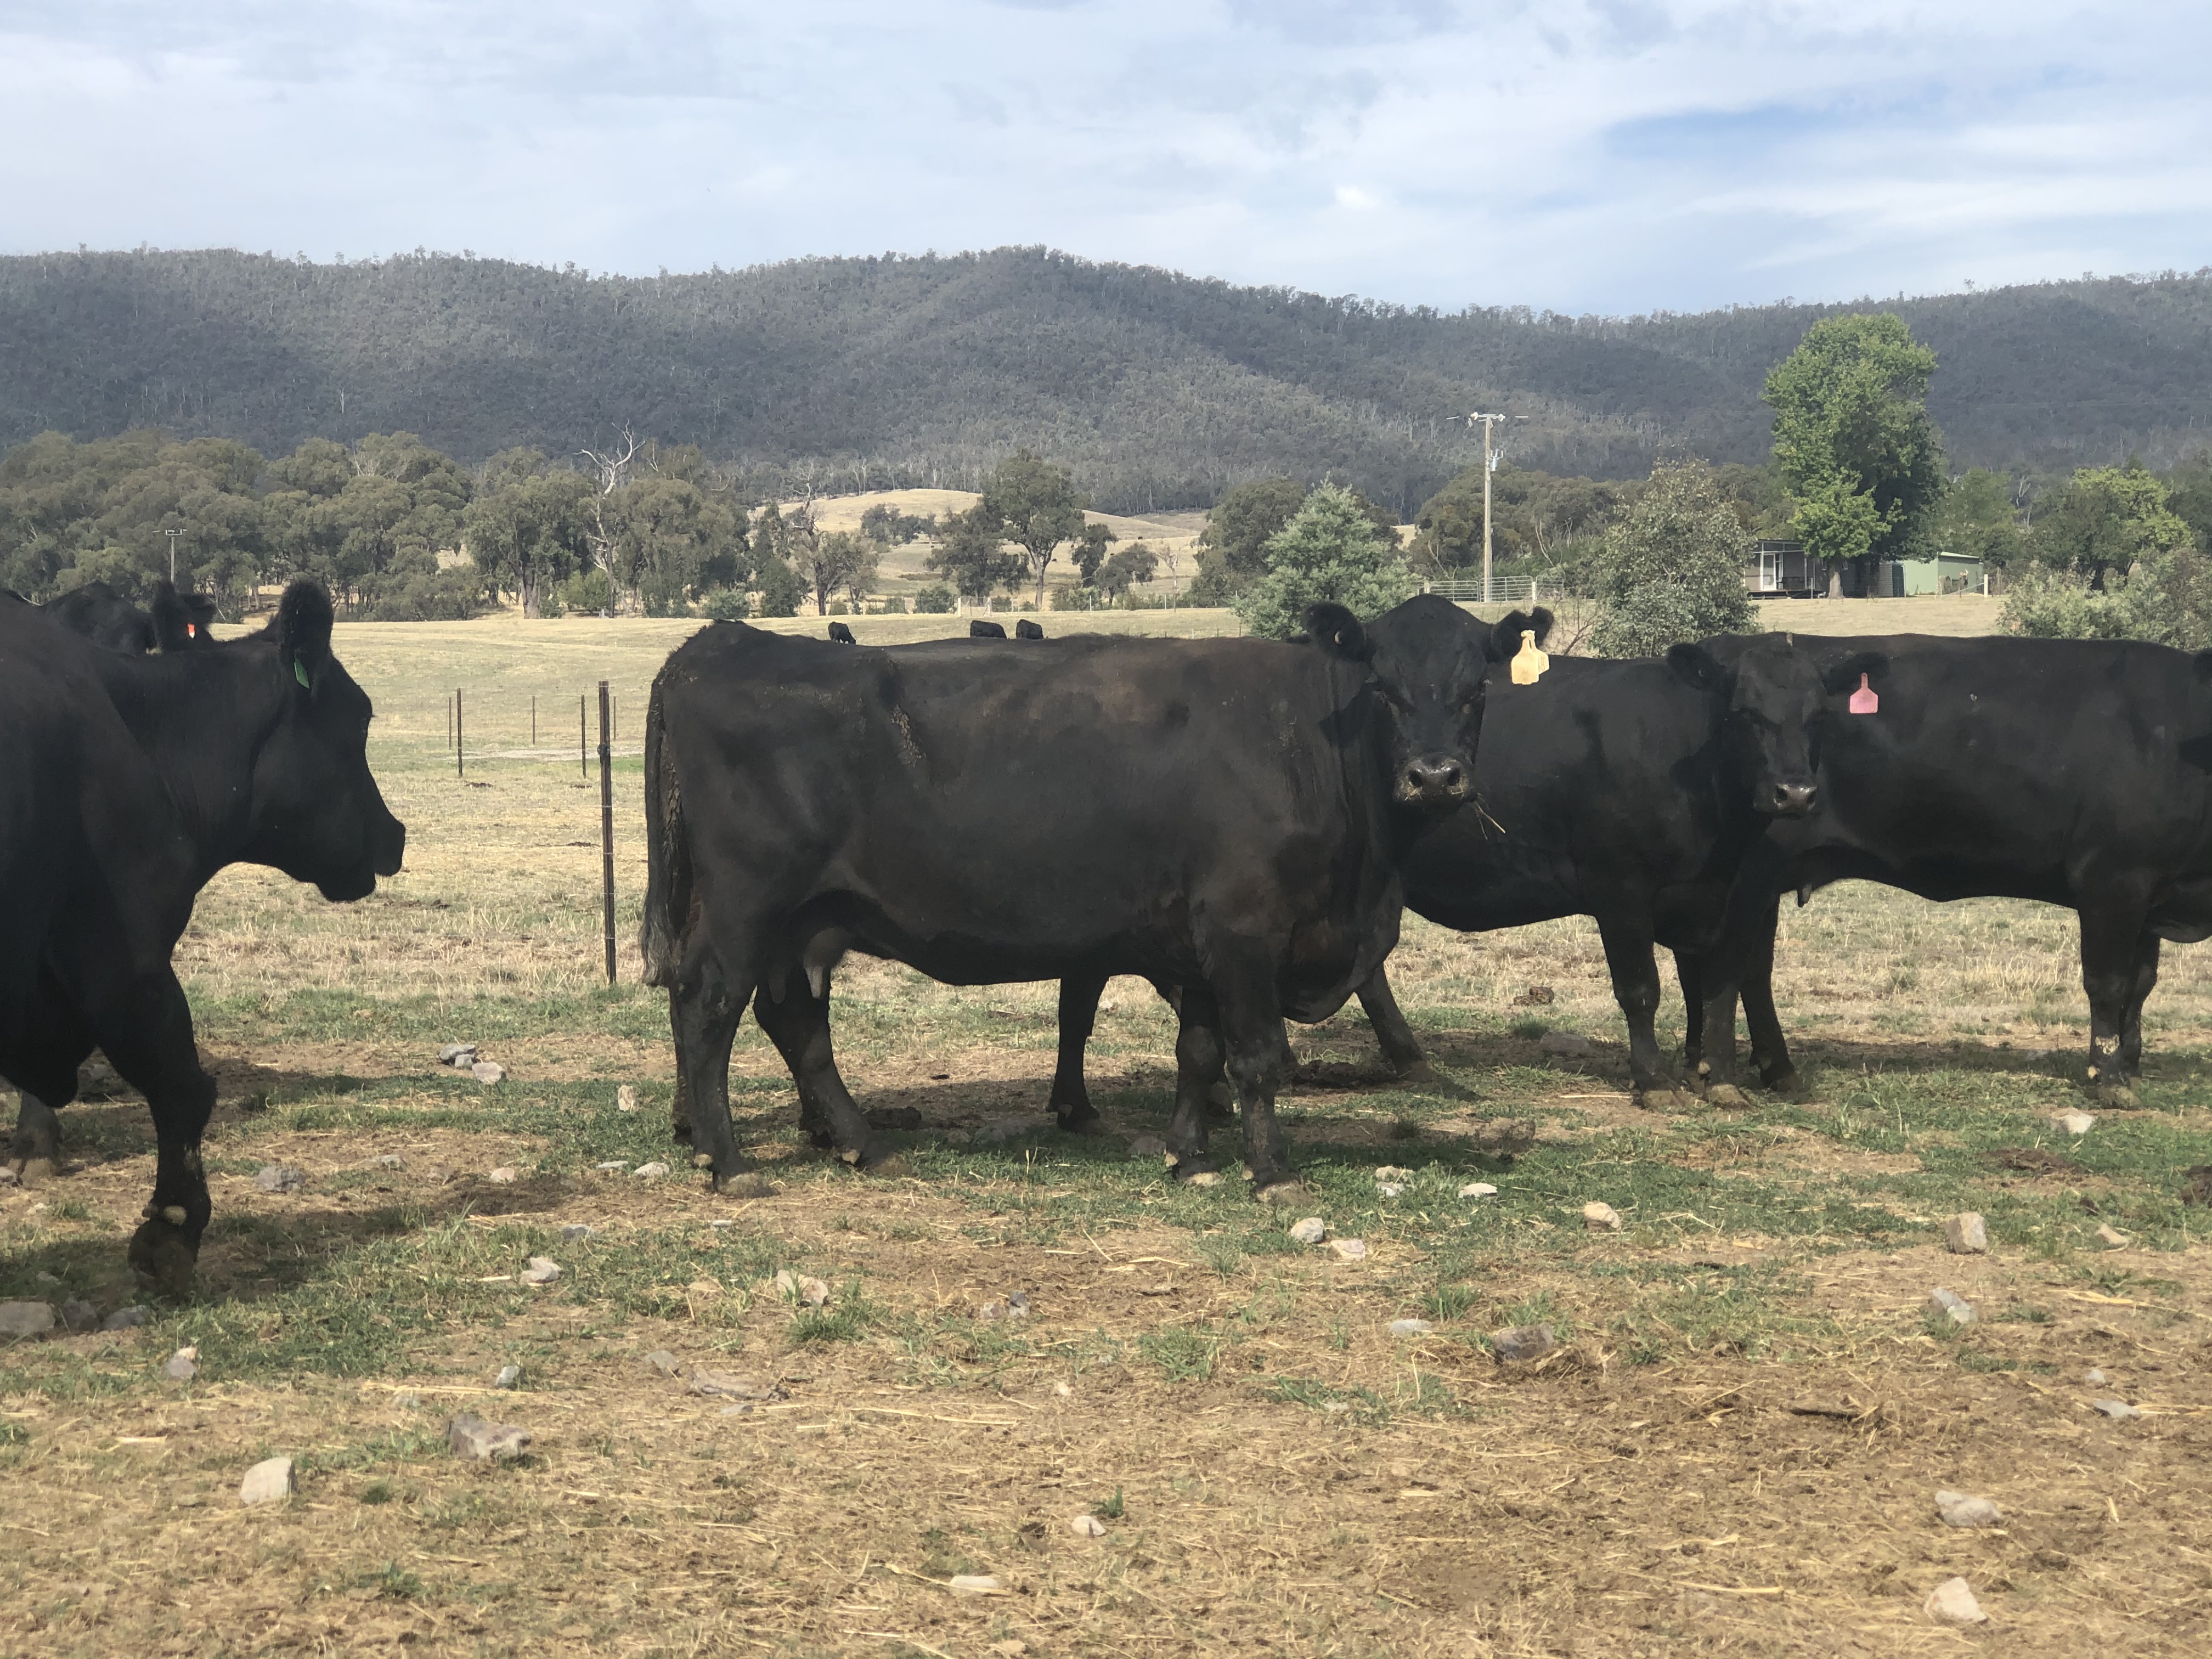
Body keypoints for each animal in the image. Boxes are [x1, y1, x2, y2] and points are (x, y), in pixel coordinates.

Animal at [640, 596, 1532, 1198]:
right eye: (1383, 687)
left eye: (1478, 692)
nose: (1435, 777)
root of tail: (720, 643)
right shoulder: (1244, 929)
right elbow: (1254, 1054)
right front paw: (1272, 1171)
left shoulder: (1197, 940)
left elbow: (1197, 1052)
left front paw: (1190, 1156)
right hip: (746, 907)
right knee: (707, 1006)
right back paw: (727, 1161)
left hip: (803, 922)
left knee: (794, 1022)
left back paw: (864, 1143)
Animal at [1038, 622, 1877, 1121]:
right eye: (1745, 713)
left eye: (1818, 718)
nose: (1795, 794)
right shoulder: (1621, 888)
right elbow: (1642, 989)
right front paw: (1652, 1079)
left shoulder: (1731, 894)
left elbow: (1727, 982)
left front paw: (1722, 1074)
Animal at [1682, 632, 2212, 1108]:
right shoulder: (2111, 881)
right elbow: (2108, 984)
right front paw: (2109, 1079)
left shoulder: (2149, 892)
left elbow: (2140, 986)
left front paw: (2131, 1068)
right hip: (1746, 877)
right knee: (1728, 965)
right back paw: (1723, 1076)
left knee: (1754, 969)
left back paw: (1779, 1070)